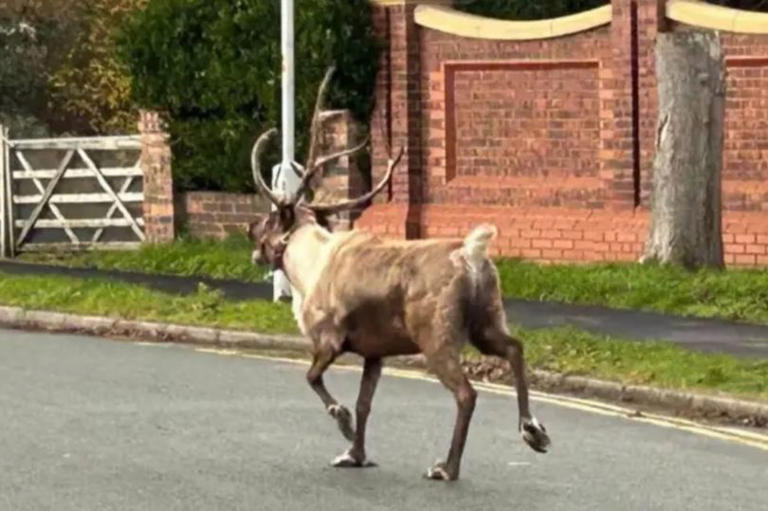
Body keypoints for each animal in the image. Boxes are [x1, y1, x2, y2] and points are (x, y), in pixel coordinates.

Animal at [247, 68, 550, 482]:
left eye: (270, 220)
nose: (249, 231)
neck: (306, 267)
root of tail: (471, 254)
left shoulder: (329, 339)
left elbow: (313, 379)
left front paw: (342, 423)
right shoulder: (375, 352)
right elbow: (365, 403)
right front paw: (354, 453)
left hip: (436, 336)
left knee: (466, 393)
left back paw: (447, 466)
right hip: (485, 321)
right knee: (515, 349)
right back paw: (533, 430)